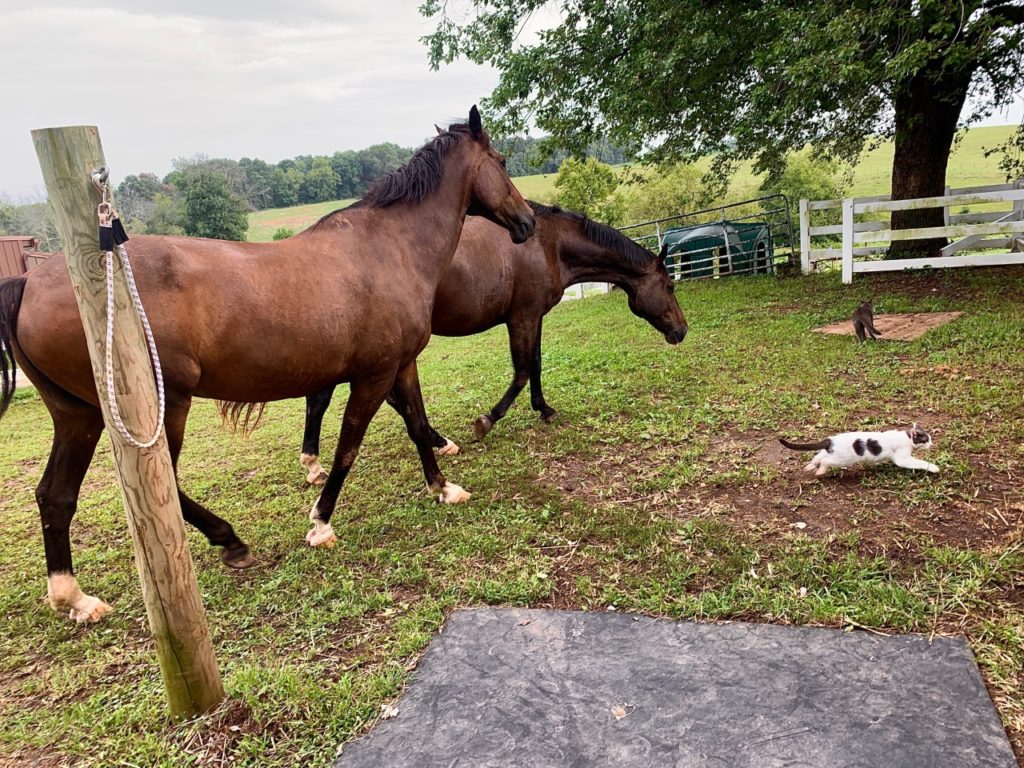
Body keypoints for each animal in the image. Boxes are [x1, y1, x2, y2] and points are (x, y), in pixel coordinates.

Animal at [0, 106, 535, 623]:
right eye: (503, 161)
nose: (528, 221)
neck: (390, 248)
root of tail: (31, 281)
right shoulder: (374, 375)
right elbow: (348, 448)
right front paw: (321, 522)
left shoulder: (401, 367)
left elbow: (418, 426)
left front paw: (444, 488)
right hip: (163, 409)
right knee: (162, 485)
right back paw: (228, 540)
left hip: (80, 416)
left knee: (55, 496)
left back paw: (75, 597)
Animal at [297, 201, 688, 485]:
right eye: (669, 286)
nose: (682, 331)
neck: (549, 244)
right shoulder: (522, 318)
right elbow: (521, 372)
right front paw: (487, 420)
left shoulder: (534, 316)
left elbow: (536, 366)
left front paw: (544, 409)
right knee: (333, 399)